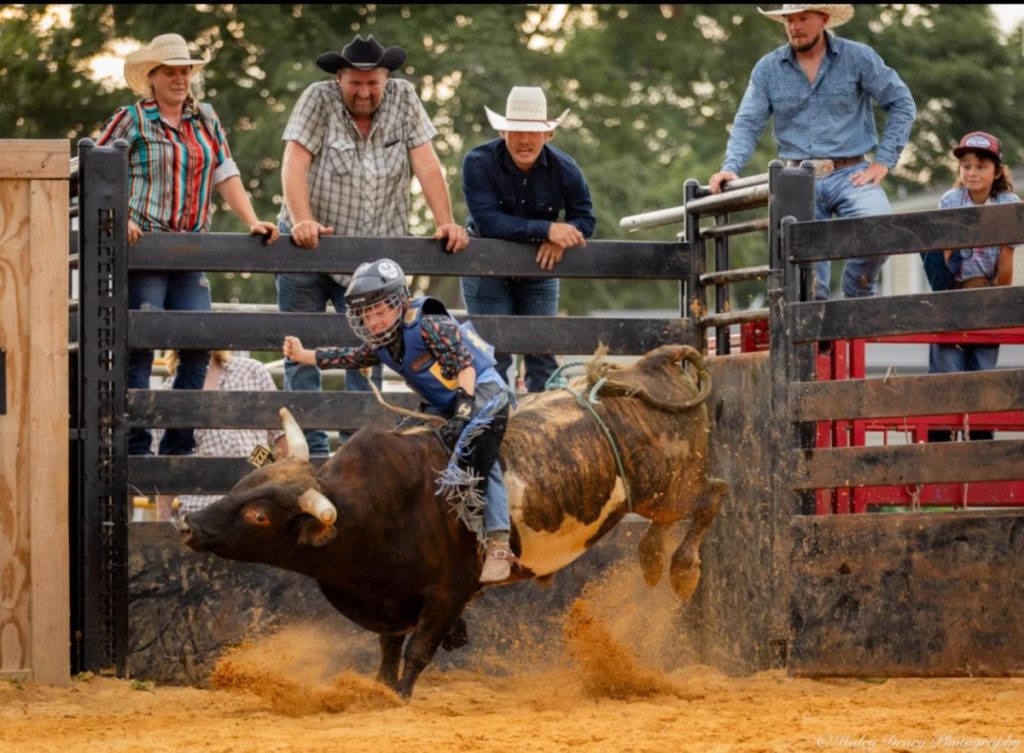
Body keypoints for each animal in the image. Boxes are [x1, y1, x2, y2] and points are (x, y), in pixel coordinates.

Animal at [179, 343, 727, 698]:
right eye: (244, 486)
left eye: (258, 515)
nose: (188, 525)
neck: (373, 509)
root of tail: (648, 367)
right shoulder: (391, 597)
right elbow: (388, 648)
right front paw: (379, 689)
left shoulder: (448, 592)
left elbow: (419, 650)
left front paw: (400, 696)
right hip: (657, 497)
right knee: (667, 522)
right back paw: (653, 560)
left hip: (675, 483)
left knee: (713, 495)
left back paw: (683, 569)